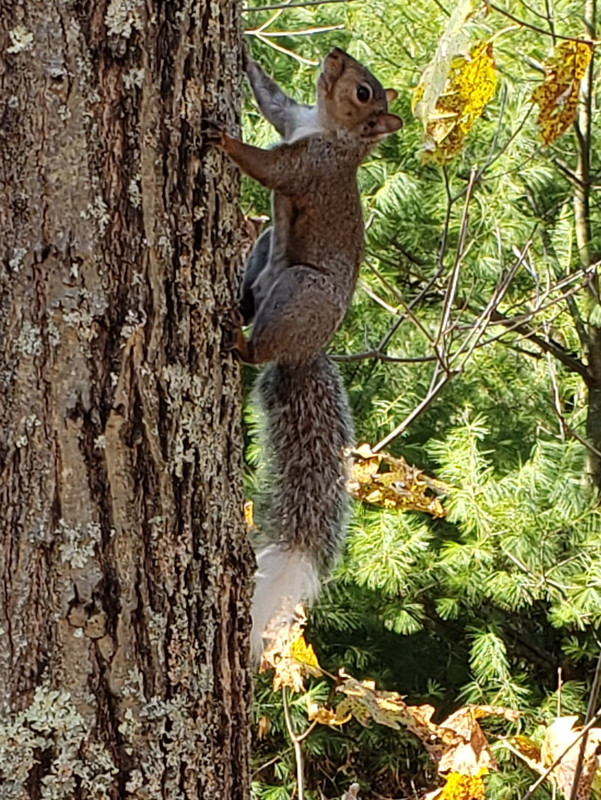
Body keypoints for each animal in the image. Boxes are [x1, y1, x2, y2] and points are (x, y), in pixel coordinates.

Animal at [206, 48, 402, 657]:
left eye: (363, 92)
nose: (334, 54)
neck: (325, 128)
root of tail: (305, 348)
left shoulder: (309, 166)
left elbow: (270, 168)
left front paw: (225, 141)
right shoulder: (293, 119)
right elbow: (271, 99)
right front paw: (243, 51)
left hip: (298, 290)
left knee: (256, 349)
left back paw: (239, 338)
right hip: (267, 251)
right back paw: (240, 304)